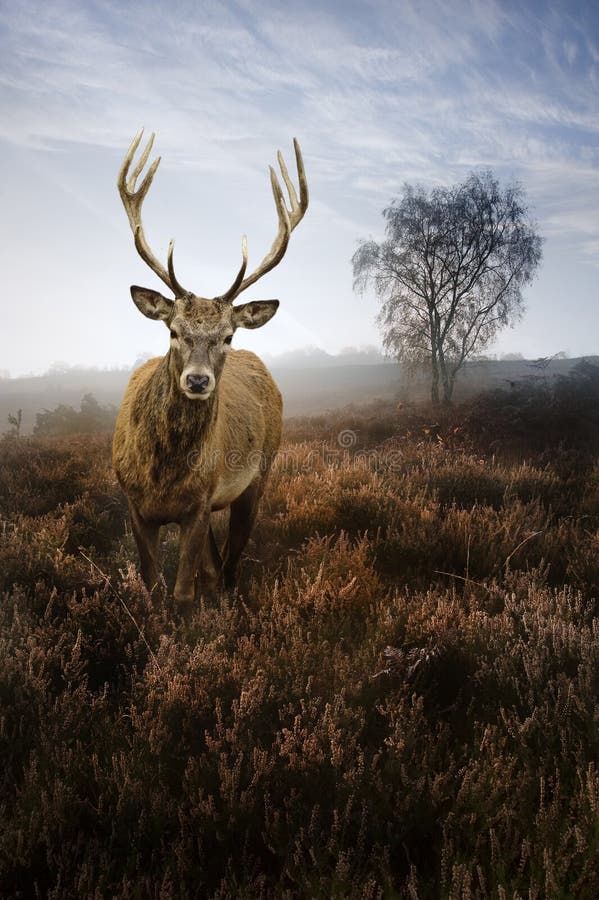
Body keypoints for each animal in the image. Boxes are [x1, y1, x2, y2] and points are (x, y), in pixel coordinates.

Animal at [112, 130, 308, 607]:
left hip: (259, 475)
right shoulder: (135, 504)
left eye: (228, 336)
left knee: (231, 563)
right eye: (173, 331)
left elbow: (184, 592)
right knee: (216, 566)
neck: (163, 476)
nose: (198, 379)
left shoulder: (199, 504)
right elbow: (152, 584)